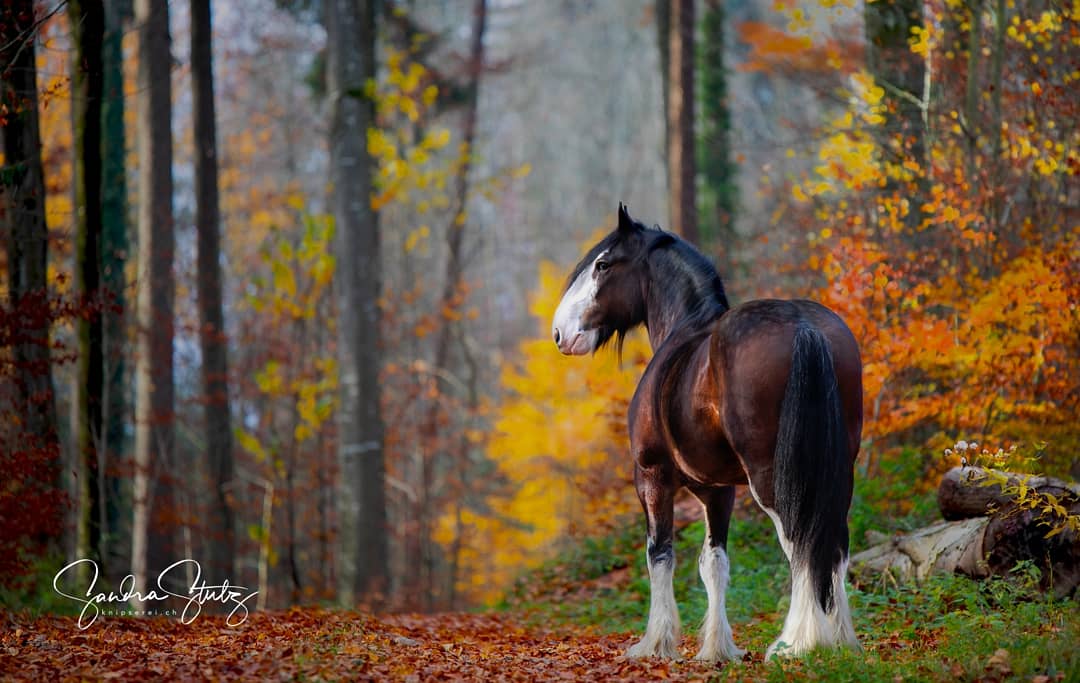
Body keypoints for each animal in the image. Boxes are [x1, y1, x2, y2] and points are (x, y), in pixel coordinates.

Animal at [551, 204, 863, 661]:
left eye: (603, 265)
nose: (561, 333)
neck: (685, 331)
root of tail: (803, 325)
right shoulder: (718, 490)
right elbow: (713, 563)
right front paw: (717, 649)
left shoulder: (652, 477)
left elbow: (659, 555)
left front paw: (656, 642)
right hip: (838, 469)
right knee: (833, 539)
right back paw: (839, 640)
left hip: (773, 477)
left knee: (799, 542)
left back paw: (796, 642)